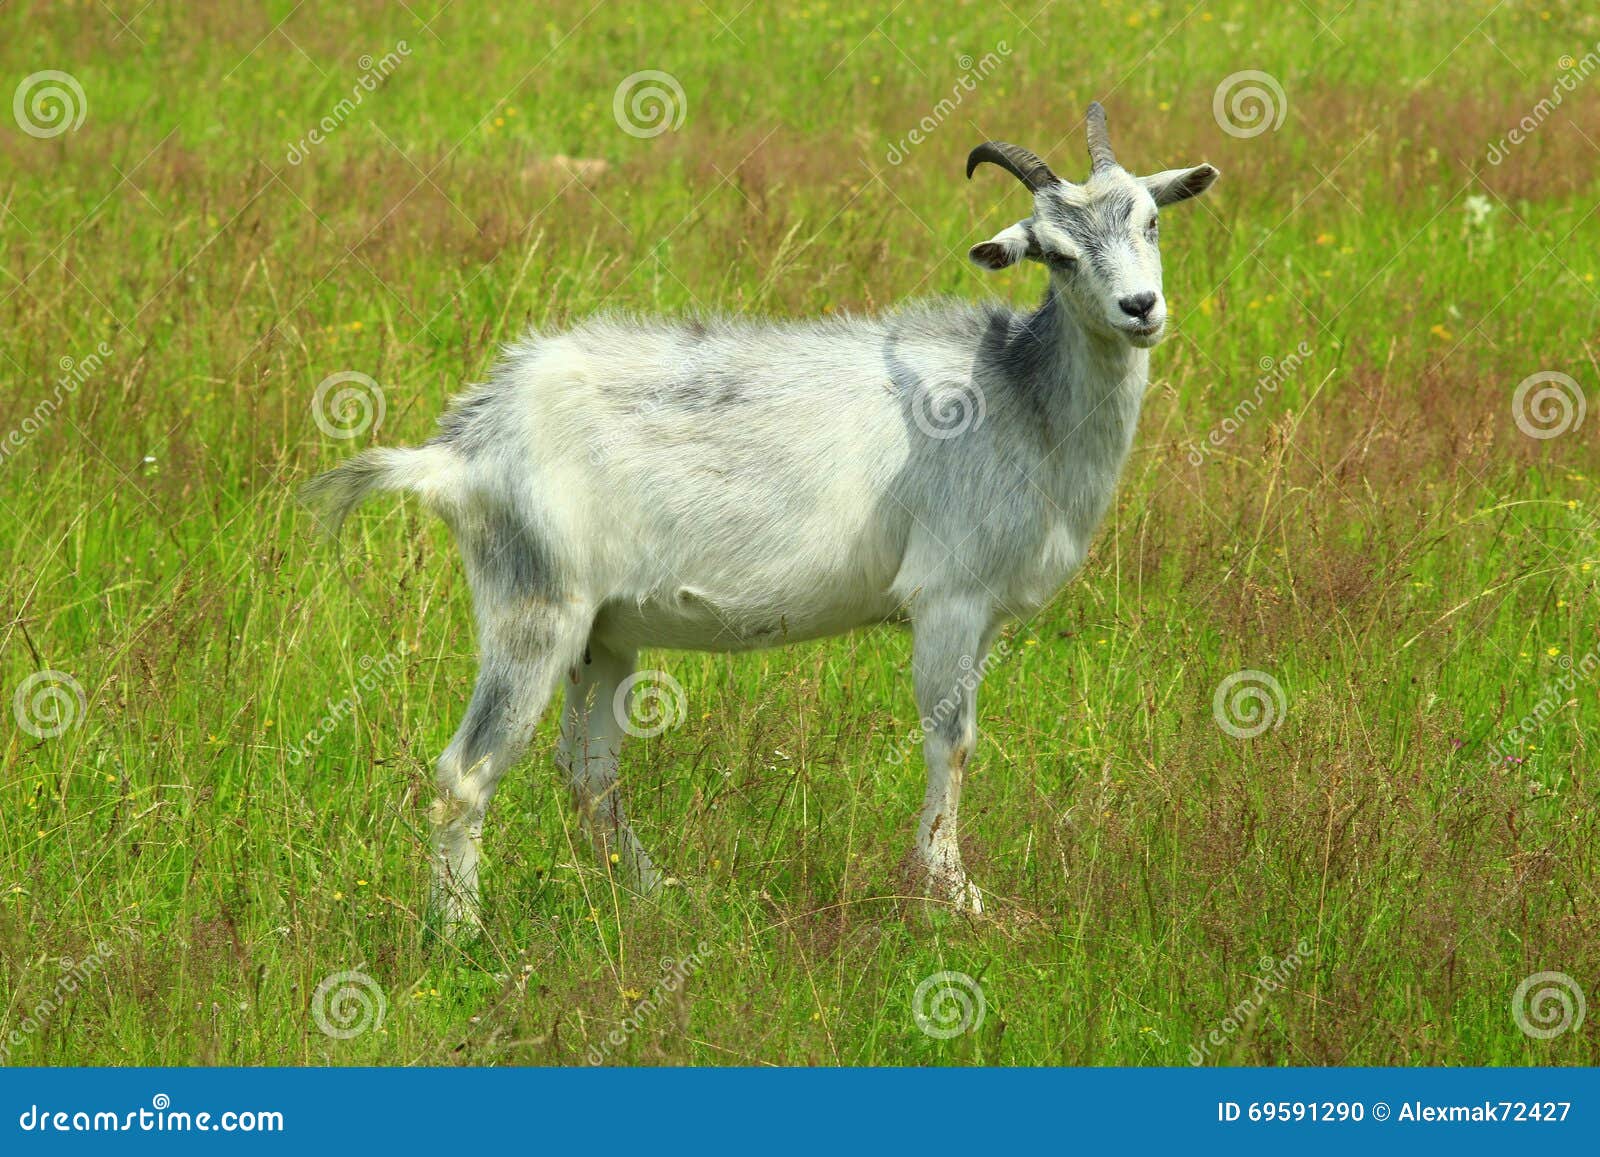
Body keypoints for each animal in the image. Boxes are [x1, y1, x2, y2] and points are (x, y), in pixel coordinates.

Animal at [303, 103, 1217, 931]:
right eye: (1056, 254)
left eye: (1150, 220)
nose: (1141, 307)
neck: (1021, 397)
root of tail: (466, 445)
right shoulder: (948, 598)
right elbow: (951, 741)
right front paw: (955, 899)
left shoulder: (984, 614)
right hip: (534, 607)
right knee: (467, 771)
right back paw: (459, 933)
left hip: (603, 634)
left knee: (587, 771)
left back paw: (660, 896)